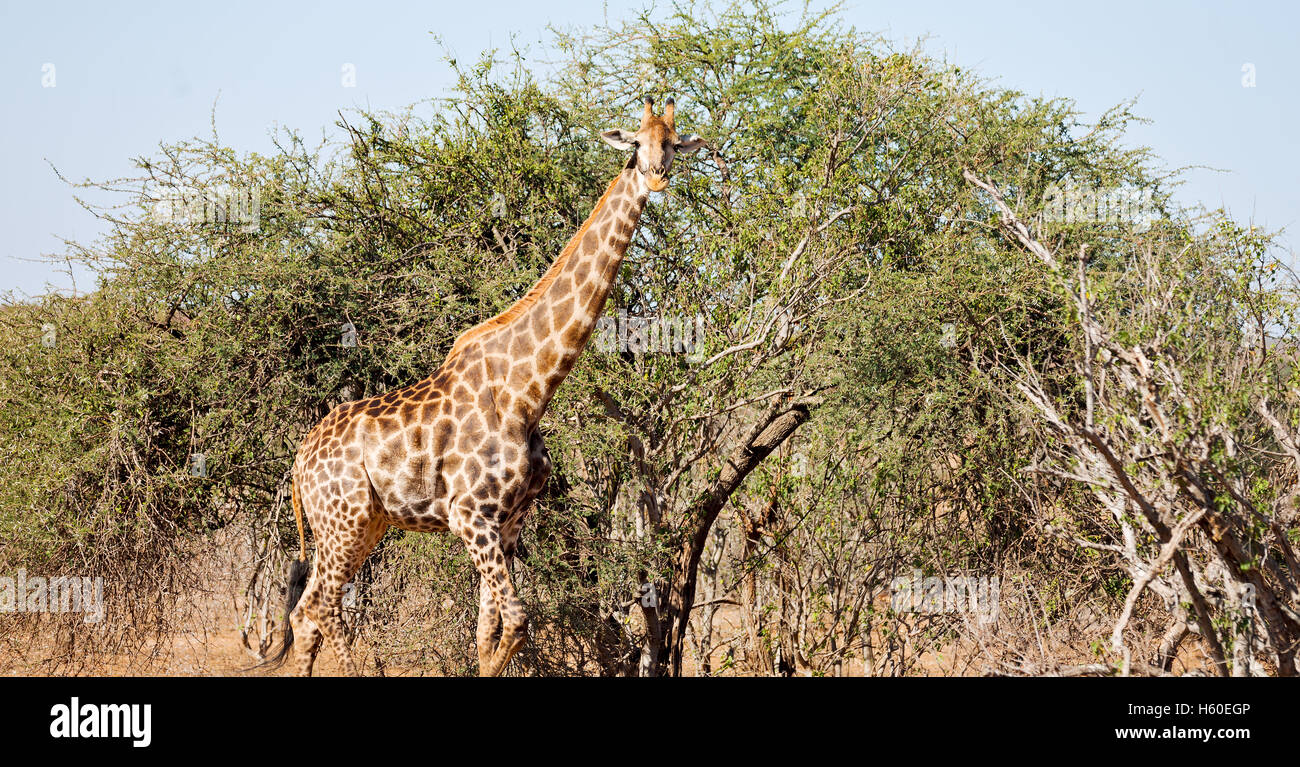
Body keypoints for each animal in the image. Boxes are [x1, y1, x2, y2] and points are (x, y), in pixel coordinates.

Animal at [266, 97, 705, 677]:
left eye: (673, 142)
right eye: (636, 141)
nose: (656, 175)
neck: (529, 391)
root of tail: (298, 462)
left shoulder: (509, 521)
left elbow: (487, 630)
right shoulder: (470, 515)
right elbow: (518, 620)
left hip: (361, 525)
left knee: (306, 614)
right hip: (346, 521)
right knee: (321, 605)